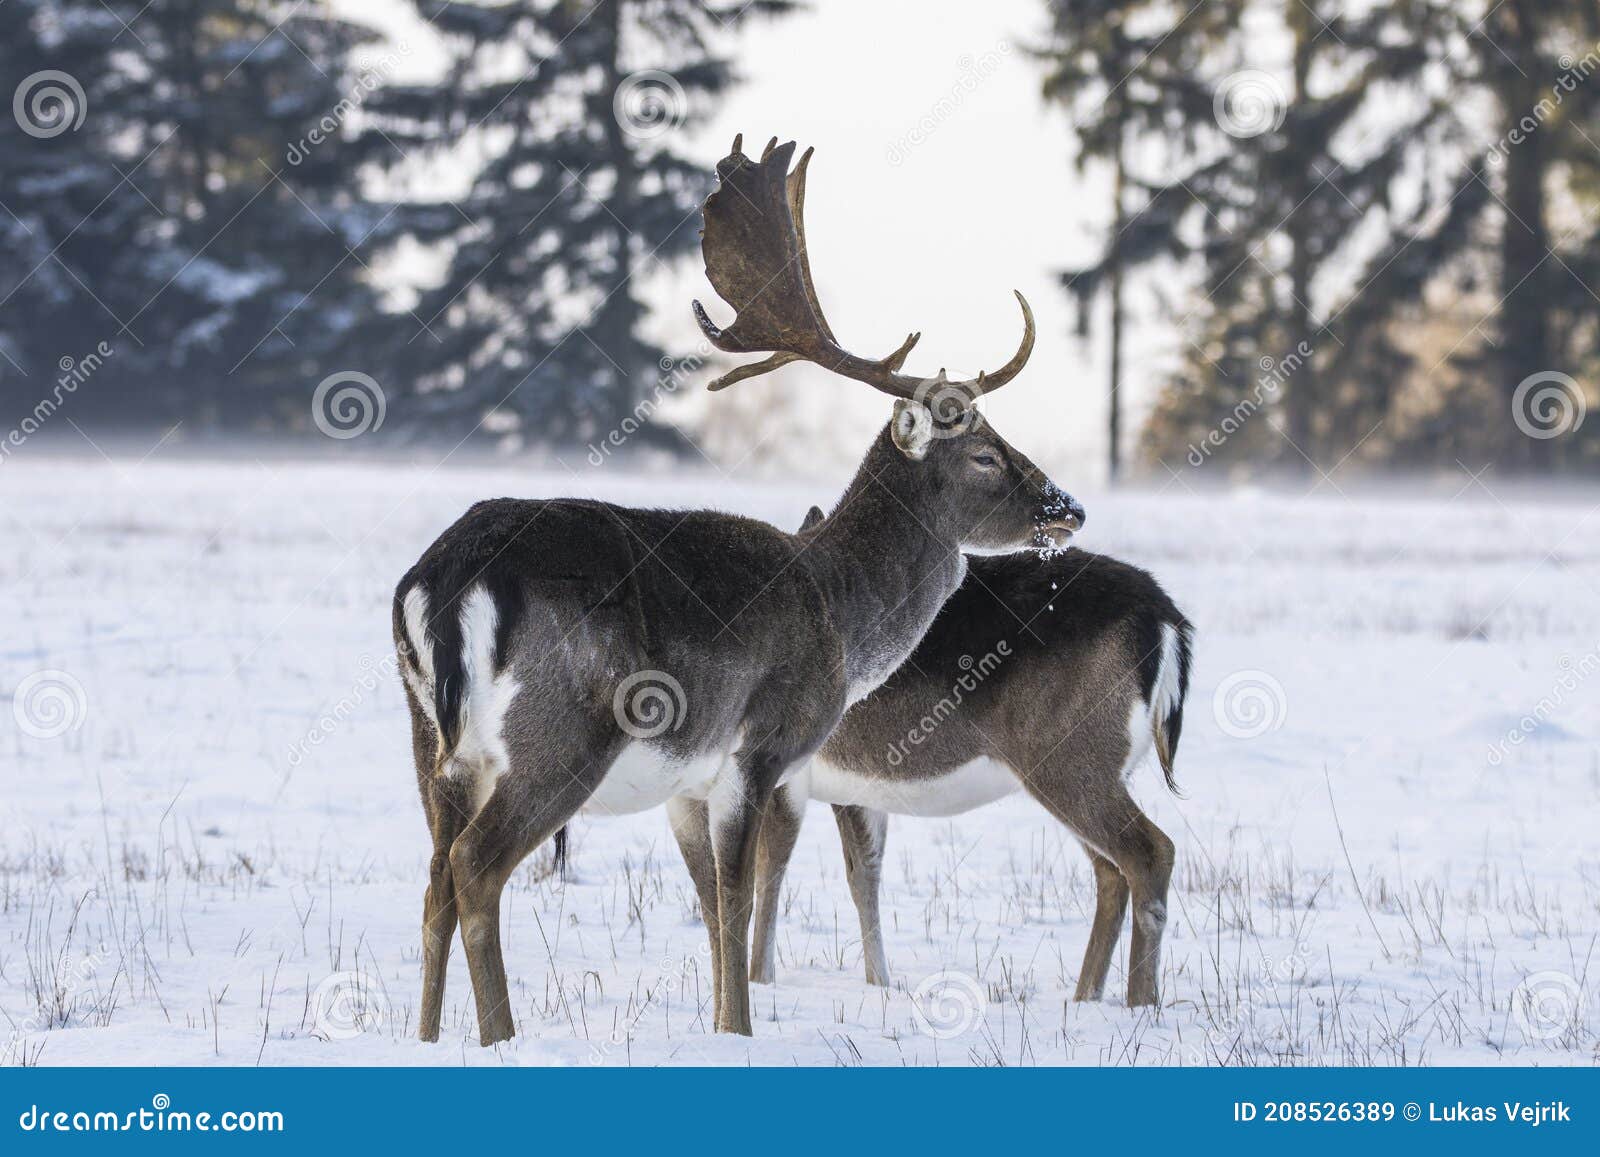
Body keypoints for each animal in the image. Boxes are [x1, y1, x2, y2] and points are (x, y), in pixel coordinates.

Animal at [393, 137, 1086, 1044]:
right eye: (983, 454)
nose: (1067, 507)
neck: (842, 616)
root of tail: (442, 580)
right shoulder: (761, 744)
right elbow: (739, 896)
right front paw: (741, 1029)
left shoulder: (687, 782)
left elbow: (710, 904)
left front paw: (724, 1023)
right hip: (559, 729)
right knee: (475, 867)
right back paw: (502, 1036)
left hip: (430, 742)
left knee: (434, 879)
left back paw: (425, 1035)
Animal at [727, 509, 1193, 1008]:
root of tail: (1167, 621)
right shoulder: (854, 790)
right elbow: (863, 877)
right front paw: (881, 984)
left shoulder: (781, 774)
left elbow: (769, 874)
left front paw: (760, 980)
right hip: (1086, 767)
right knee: (1111, 870)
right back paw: (1086, 996)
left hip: (1070, 758)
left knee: (1151, 851)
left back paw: (1140, 1003)